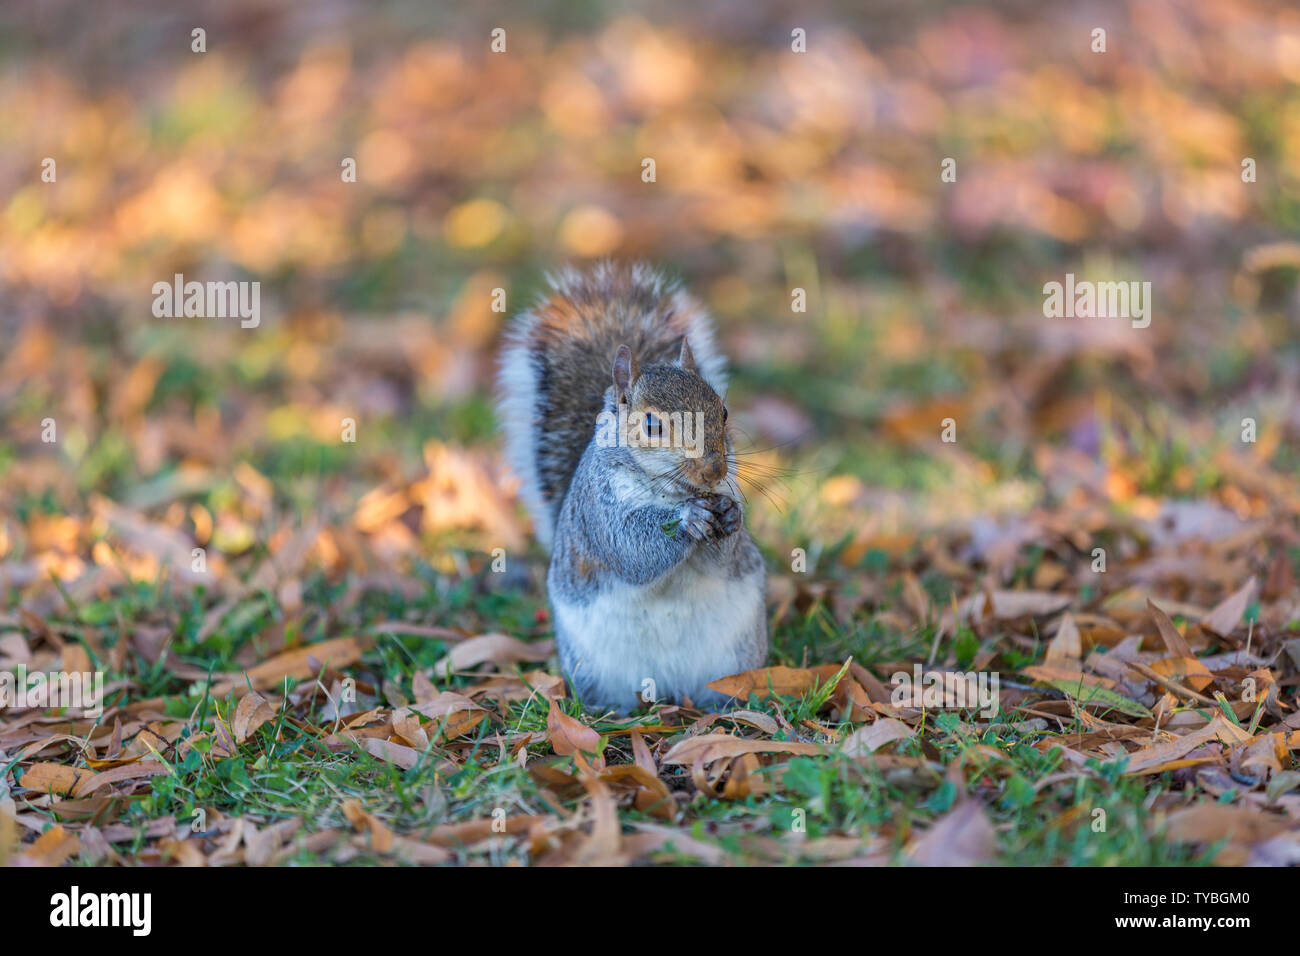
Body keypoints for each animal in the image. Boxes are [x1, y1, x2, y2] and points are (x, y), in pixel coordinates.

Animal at [497, 262, 767, 713]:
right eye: (653, 424)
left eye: (725, 411)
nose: (713, 470)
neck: (670, 492)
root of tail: (668, 687)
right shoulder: (598, 505)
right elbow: (631, 550)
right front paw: (688, 519)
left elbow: (721, 561)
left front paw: (730, 517)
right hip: (594, 669)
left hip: (734, 657)